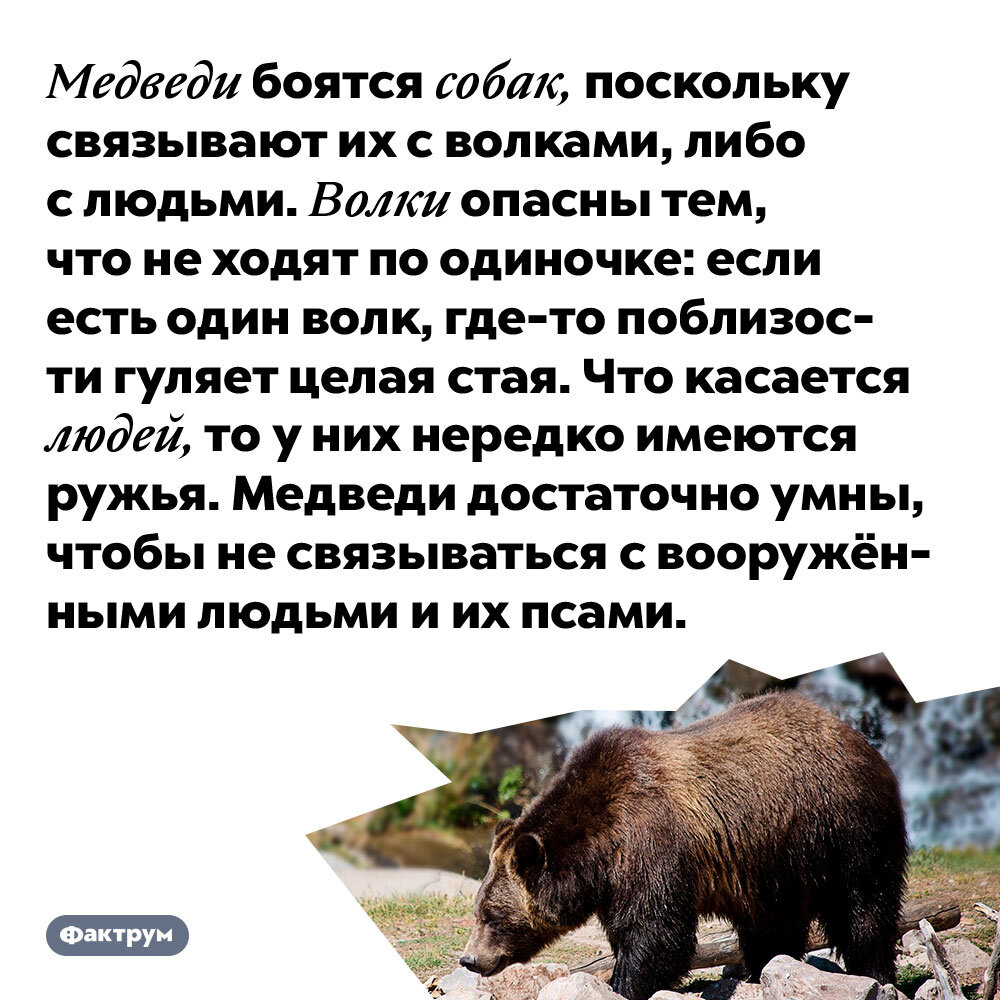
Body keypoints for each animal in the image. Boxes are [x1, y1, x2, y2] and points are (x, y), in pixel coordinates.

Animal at [460, 692, 907, 1000]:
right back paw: (762, 968)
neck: (597, 850)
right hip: (775, 862)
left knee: (864, 907)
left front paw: (623, 984)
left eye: (491, 915)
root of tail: (856, 737)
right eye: (479, 910)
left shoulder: (650, 843)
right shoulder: (616, 879)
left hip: (842, 828)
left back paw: (875, 973)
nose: (470, 959)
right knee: (772, 924)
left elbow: (656, 931)